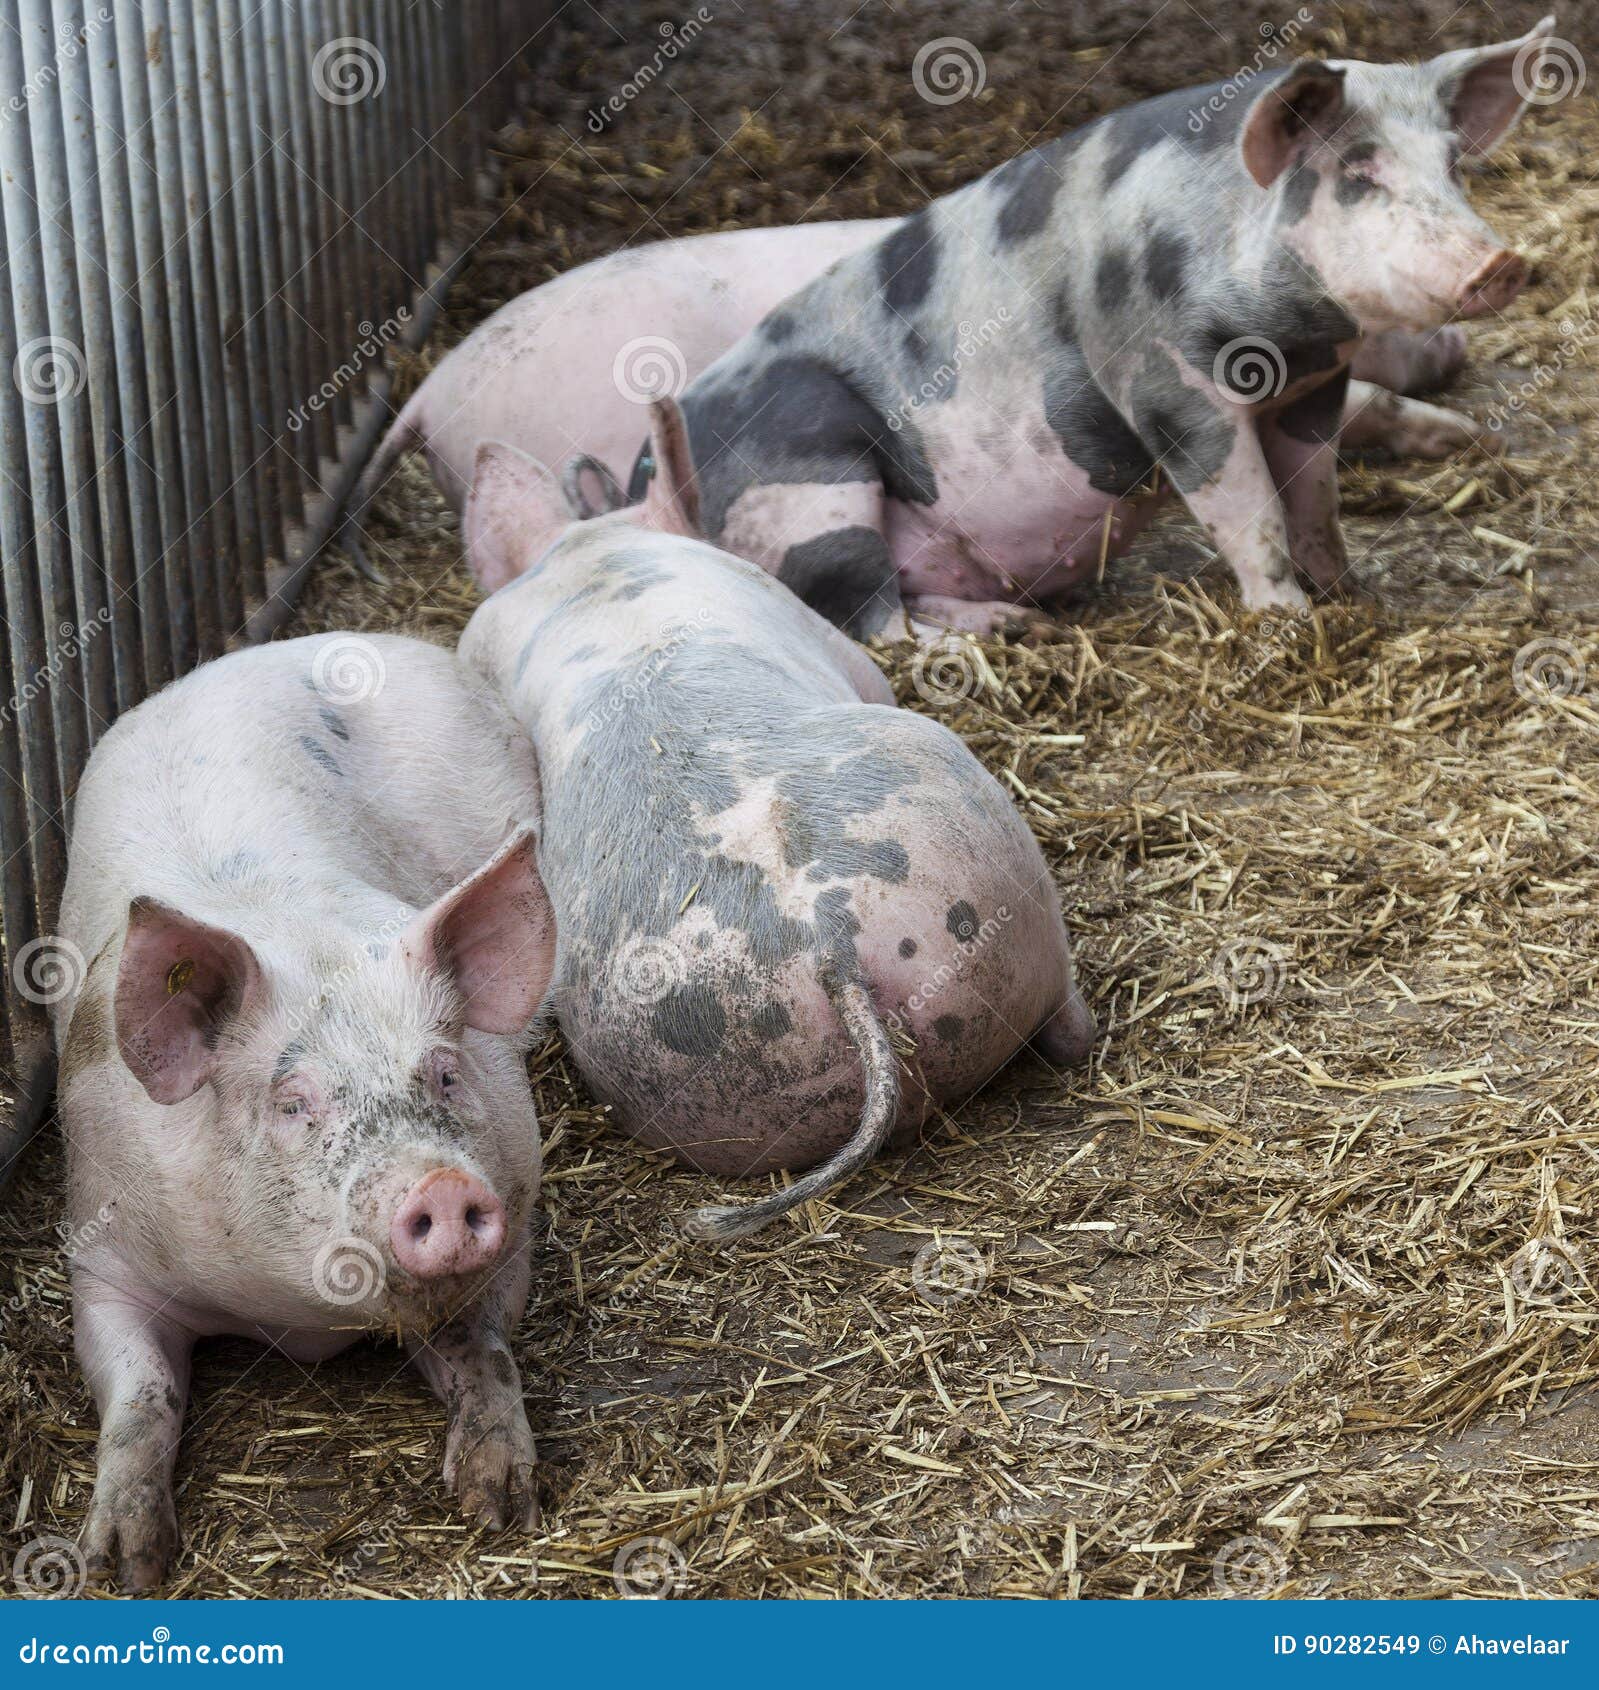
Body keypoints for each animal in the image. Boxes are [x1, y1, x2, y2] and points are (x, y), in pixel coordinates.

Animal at [52, 633, 556, 1588]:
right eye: (294, 1103)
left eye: (444, 1074)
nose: (439, 1186)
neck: (298, 1324)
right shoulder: (101, 1255)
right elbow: (143, 1394)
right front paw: (122, 1567)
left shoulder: (517, 1213)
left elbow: (483, 1347)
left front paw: (499, 1499)